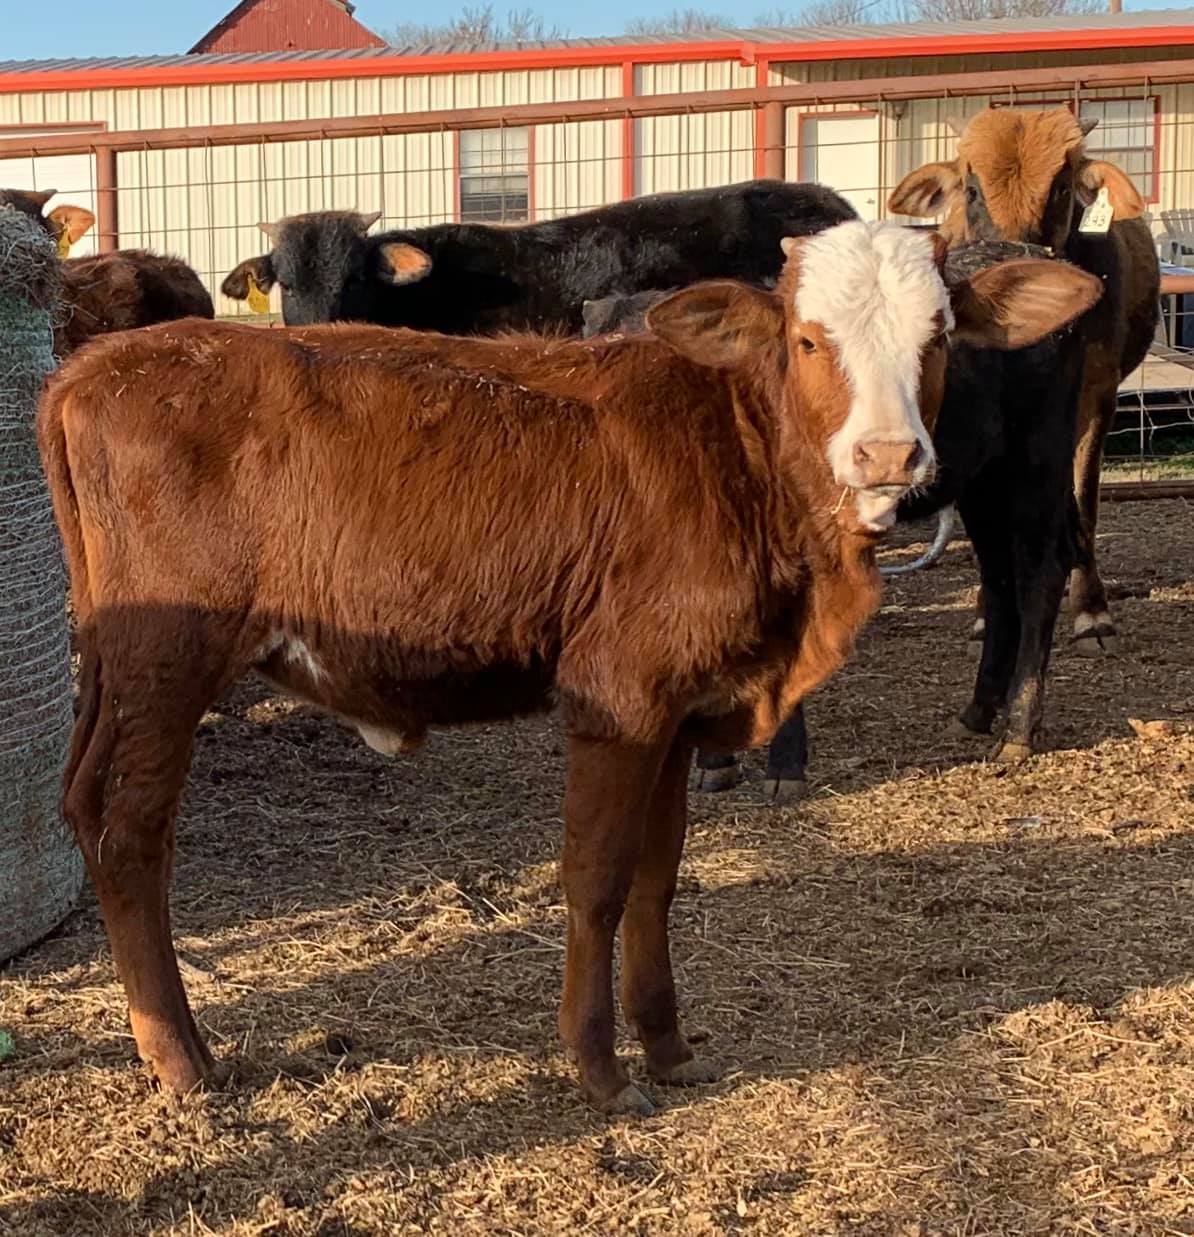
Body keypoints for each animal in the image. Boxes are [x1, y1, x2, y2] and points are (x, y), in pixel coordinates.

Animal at [584, 240, 1103, 796]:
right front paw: (714, 758)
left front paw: (784, 765)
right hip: (981, 480)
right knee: (999, 579)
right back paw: (978, 712)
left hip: (1036, 462)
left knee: (1039, 575)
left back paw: (1019, 728)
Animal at [889, 107, 1160, 657]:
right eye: (972, 188)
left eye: (1062, 187)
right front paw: (983, 614)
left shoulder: (1097, 398)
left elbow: (1083, 499)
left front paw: (1092, 612)